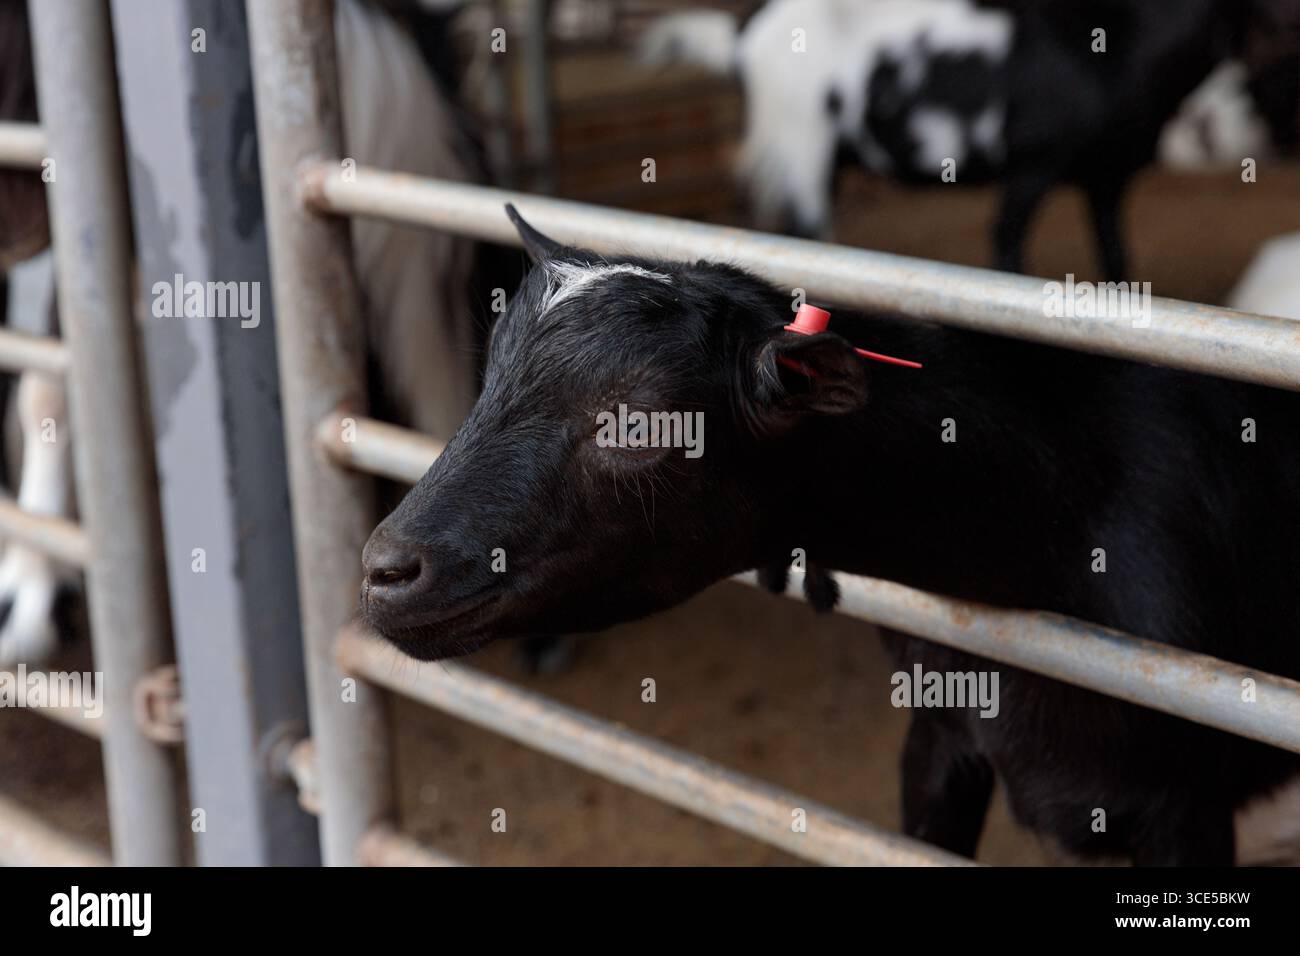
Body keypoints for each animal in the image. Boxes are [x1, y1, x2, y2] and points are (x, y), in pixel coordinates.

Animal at [643, 0, 1295, 279]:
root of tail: (742, 37)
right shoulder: (1033, 162)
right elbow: (1007, 247)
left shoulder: (1107, 172)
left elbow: (1116, 257)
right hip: (800, 140)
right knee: (808, 233)